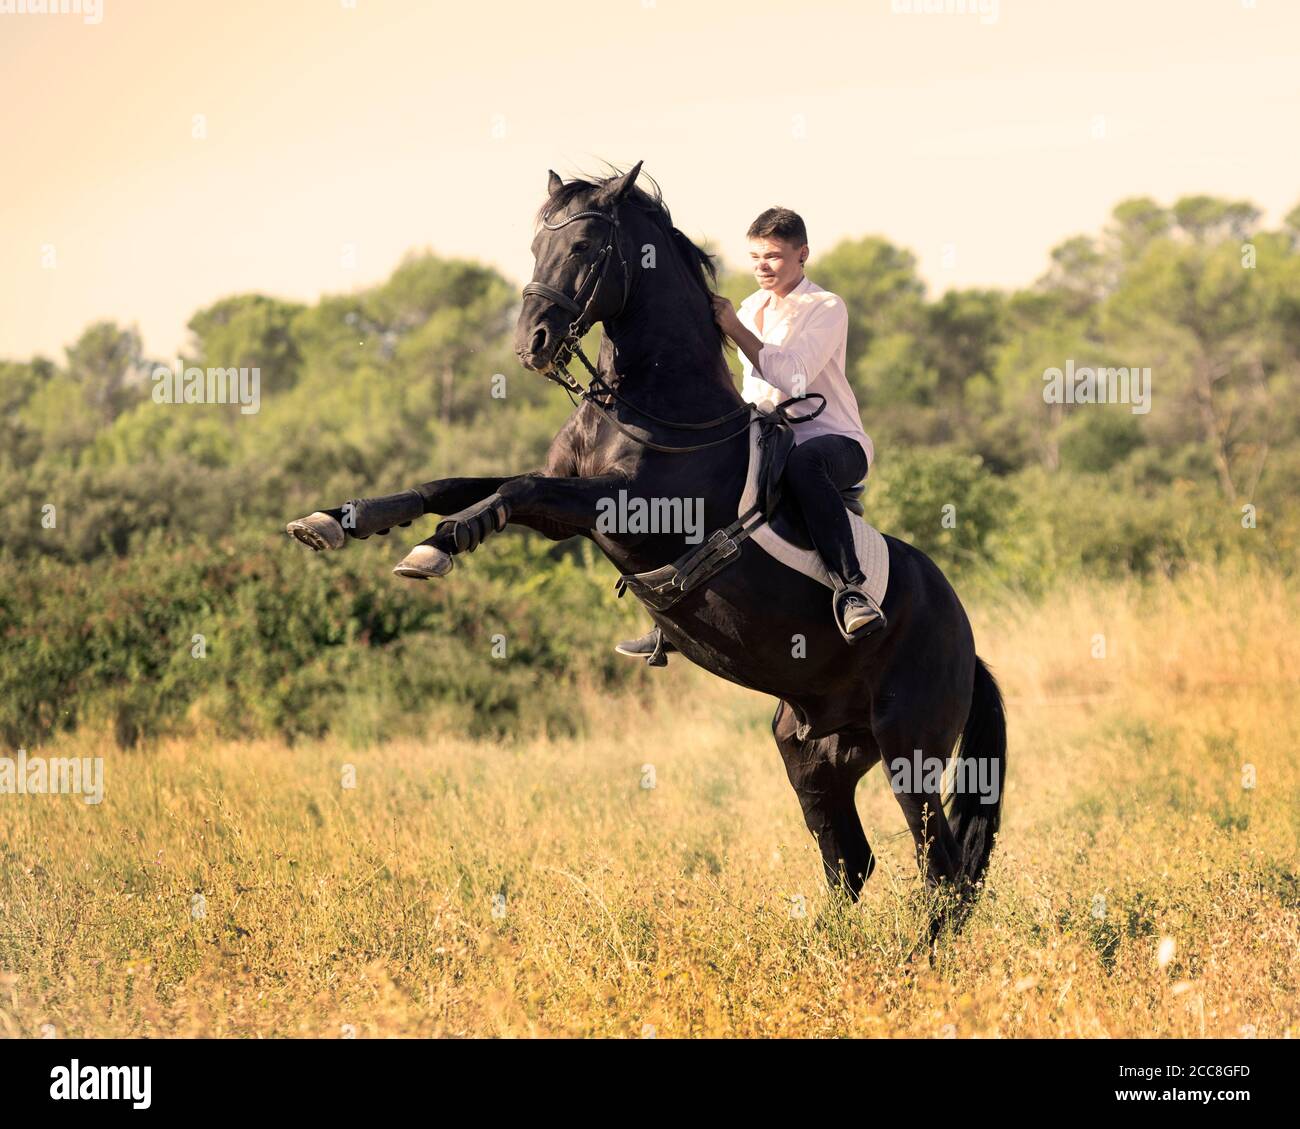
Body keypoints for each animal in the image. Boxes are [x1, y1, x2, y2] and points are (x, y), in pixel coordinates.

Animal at [287, 162, 1006, 923]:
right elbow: (458, 481)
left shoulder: (620, 510)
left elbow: (511, 491)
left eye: (582, 250)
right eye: (535, 247)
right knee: (853, 862)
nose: (531, 344)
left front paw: (442, 545)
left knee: (944, 874)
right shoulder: (567, 507)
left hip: (909, 749)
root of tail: (966, 639)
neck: (656, 407)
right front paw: (338, 519)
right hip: (817, 751)